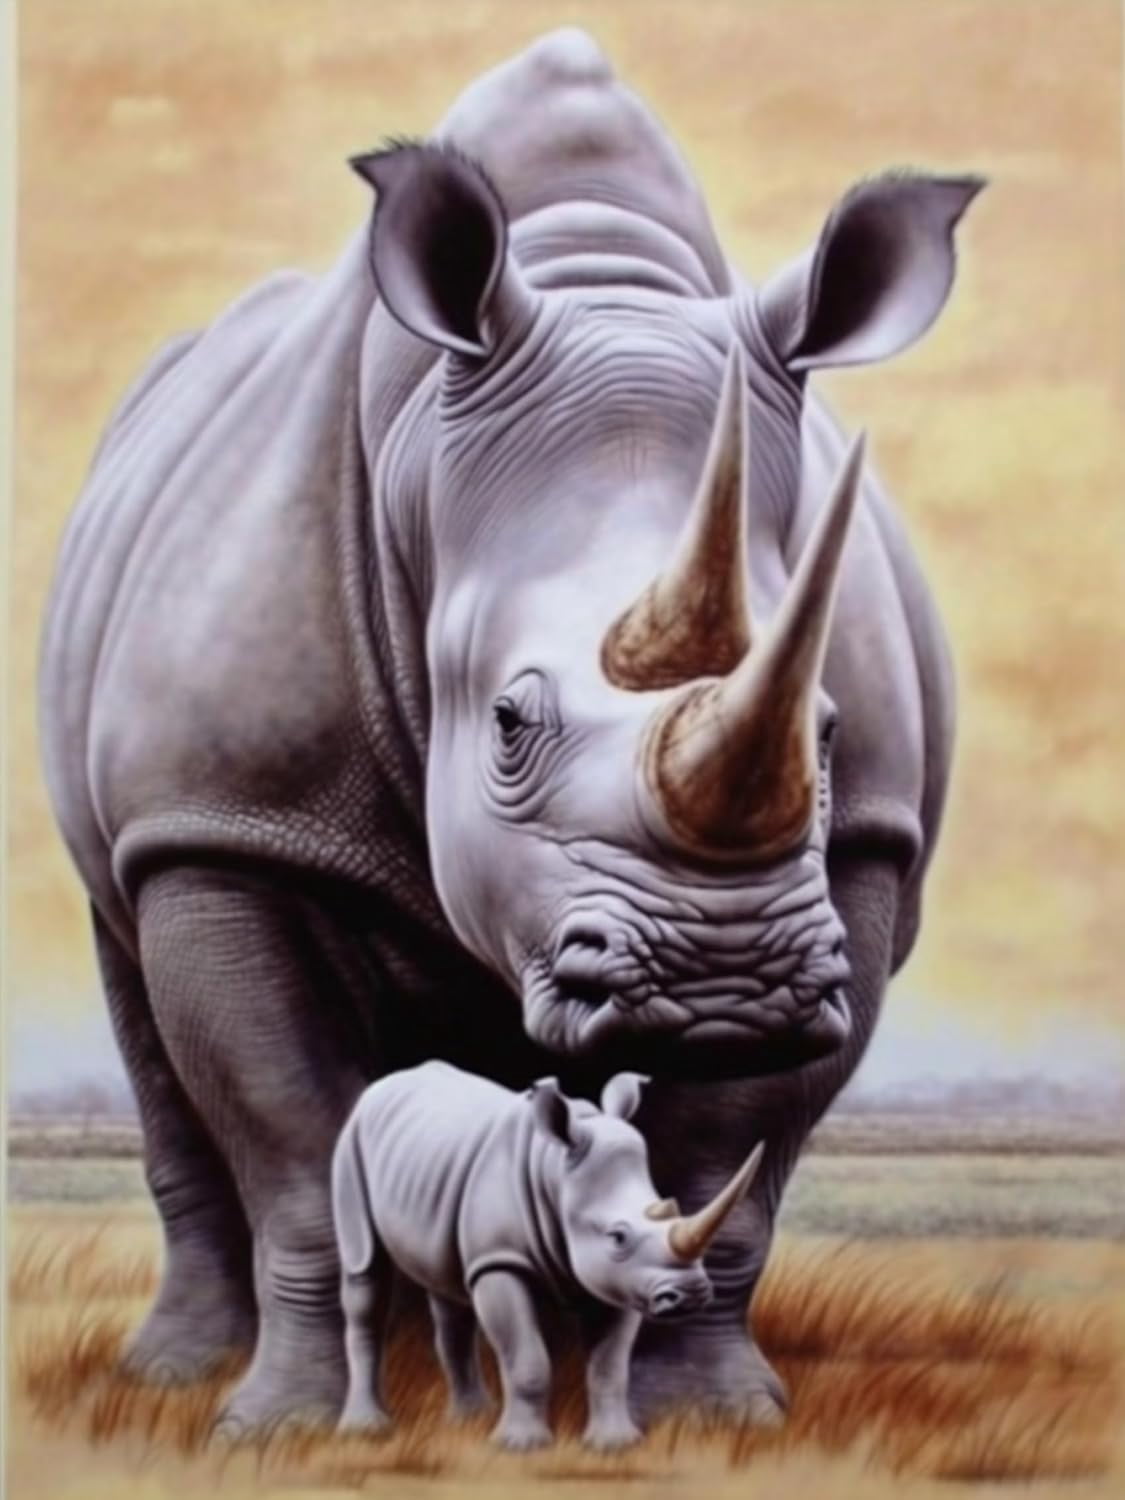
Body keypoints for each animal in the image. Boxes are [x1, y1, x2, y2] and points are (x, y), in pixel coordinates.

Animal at [332, 1064, 754, 1450]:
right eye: (618, 1237)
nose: (692, 1294)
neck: (556, 1172)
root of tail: (385, 1085)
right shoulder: (502, 1261)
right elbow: (526, 1358)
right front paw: (520, 1445)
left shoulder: (622, 1280)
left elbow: (610, 1367)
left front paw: (615, 1444)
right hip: (351, 1144)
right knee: (365, 1271)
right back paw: (366, 1429)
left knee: (447, 1286)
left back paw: (470, 1417)